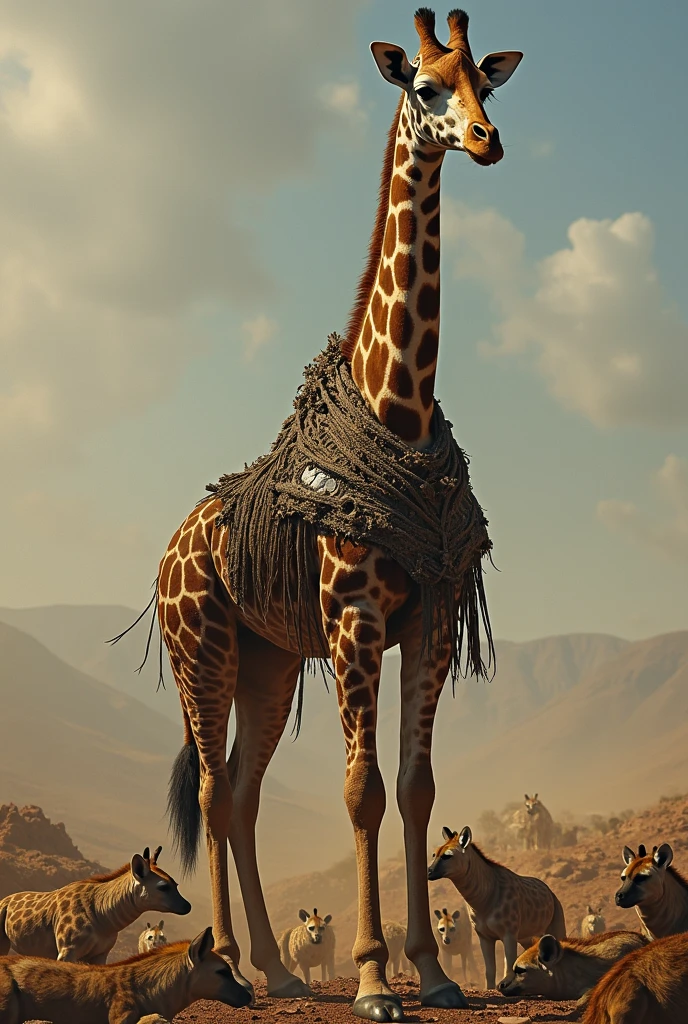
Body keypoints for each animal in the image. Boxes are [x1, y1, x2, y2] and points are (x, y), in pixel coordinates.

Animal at [156, 9, 522, 1021]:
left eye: (487, 81)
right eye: (425, 88)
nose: (487, 141)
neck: (400, 409)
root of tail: (165, 559)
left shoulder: (428, 619)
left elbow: (417, 786)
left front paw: (432, 974)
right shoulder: (357, 618)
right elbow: (362, 788)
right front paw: (369, 980)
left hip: (270, 662)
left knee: (243, 794)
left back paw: (278, 970)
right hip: (202, 651)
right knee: (213, 792)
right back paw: (229, 967)